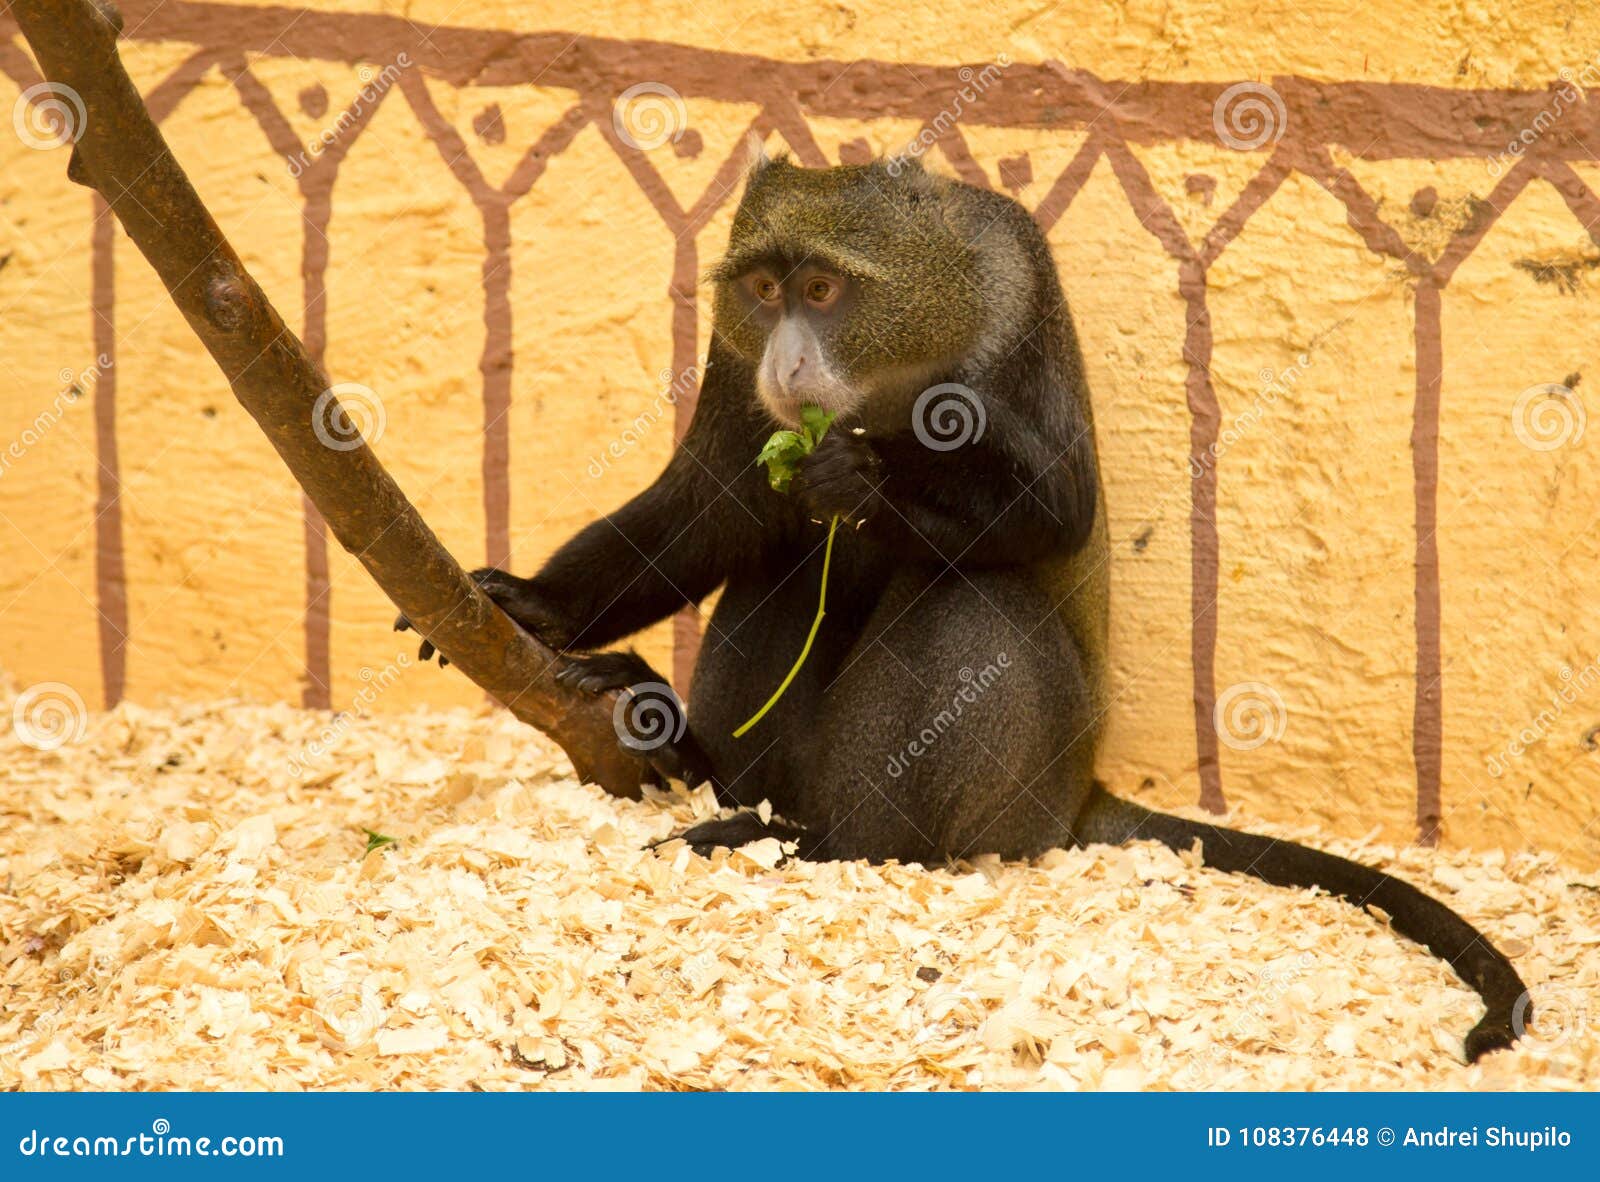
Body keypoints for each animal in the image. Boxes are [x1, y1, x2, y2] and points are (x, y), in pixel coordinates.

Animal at [397, 152, 1528, 1062]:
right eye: (763, 290)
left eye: (821, 288)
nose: (788, 361)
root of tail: (1079, 795)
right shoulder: (735, 367)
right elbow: (712, 504)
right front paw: (539, 606)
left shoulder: (1016, 306)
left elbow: (1054, 510)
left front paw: (861, 482)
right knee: (784, 558)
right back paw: (703, 761)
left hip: (1018, 784)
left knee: (977, 599)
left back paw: (840, 846)